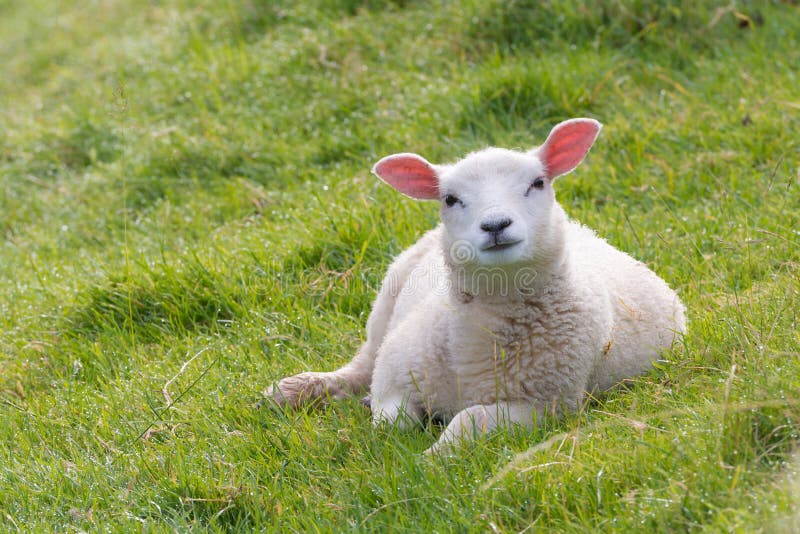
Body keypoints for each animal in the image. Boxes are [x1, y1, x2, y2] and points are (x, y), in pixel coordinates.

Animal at [268, 118, 687, 454]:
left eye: (537, 183)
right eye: (450, 199)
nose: (496, 224)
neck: (477, 346)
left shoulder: (543, 406)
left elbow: (469, 422)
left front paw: (433, 457)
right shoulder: (396, 374)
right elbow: (393, 422)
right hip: (386, 302)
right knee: (359, 366)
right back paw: (293, 391)